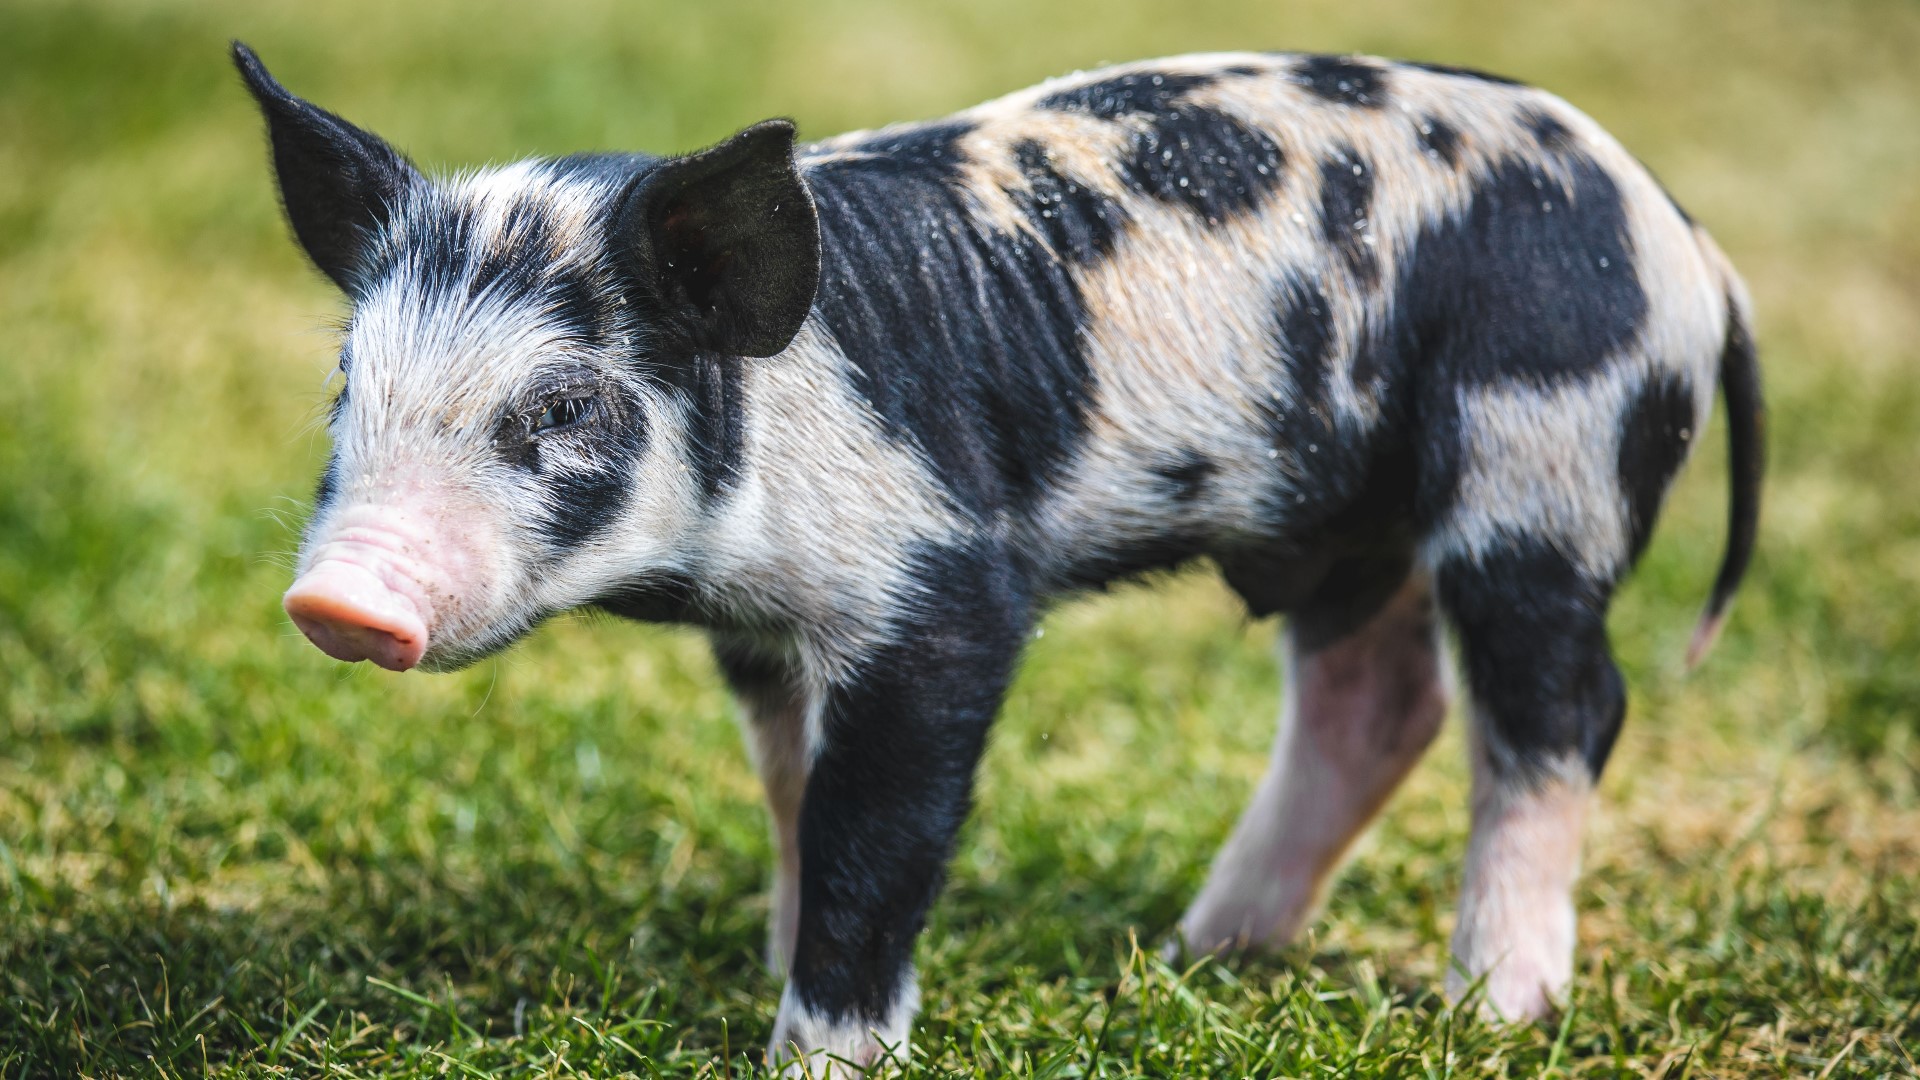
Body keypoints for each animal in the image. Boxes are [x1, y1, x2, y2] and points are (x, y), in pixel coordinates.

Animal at [235, 41, 1763, 1075]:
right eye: (348, 383)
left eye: (560, 409)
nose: (335, 597)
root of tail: (1686, 240)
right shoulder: (772, 630)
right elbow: (795, 796)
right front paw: (771, 962)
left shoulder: (941, 591)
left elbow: (879, 826)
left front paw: (818, 1057)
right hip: (1344, 523)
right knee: (1379, 696)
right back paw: (1200, 952)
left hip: (1544, 457)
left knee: (1559, 706)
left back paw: (1489, 1009)